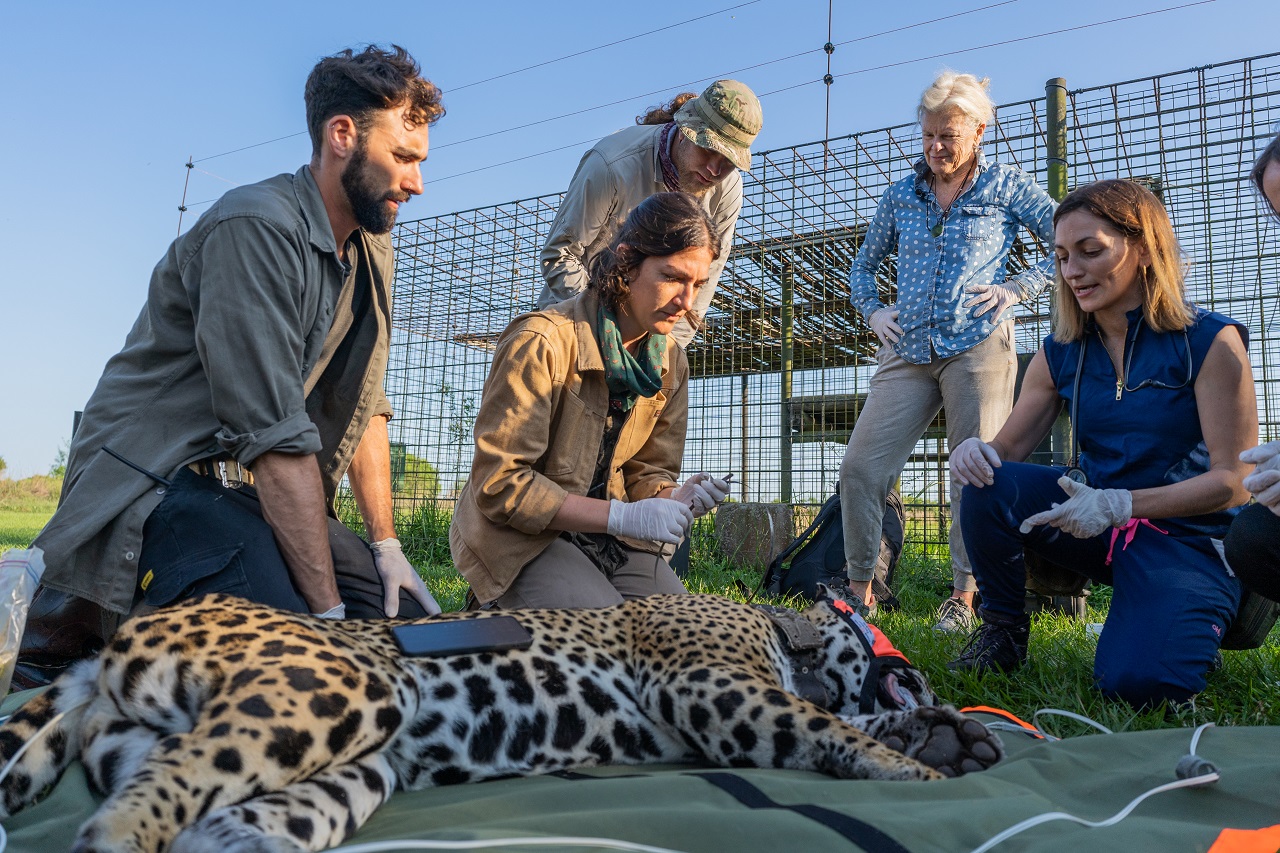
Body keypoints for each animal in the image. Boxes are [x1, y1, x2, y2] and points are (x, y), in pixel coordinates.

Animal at [0, 589, 1003, 853]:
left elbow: (848, 722)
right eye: (874, 628)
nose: (921, 666)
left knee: (211, 811)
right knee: (125, 818)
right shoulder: (712, 685)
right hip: (340, 684)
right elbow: (833, 729)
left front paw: (951, 734)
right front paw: (925, 769)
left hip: (357, 758)